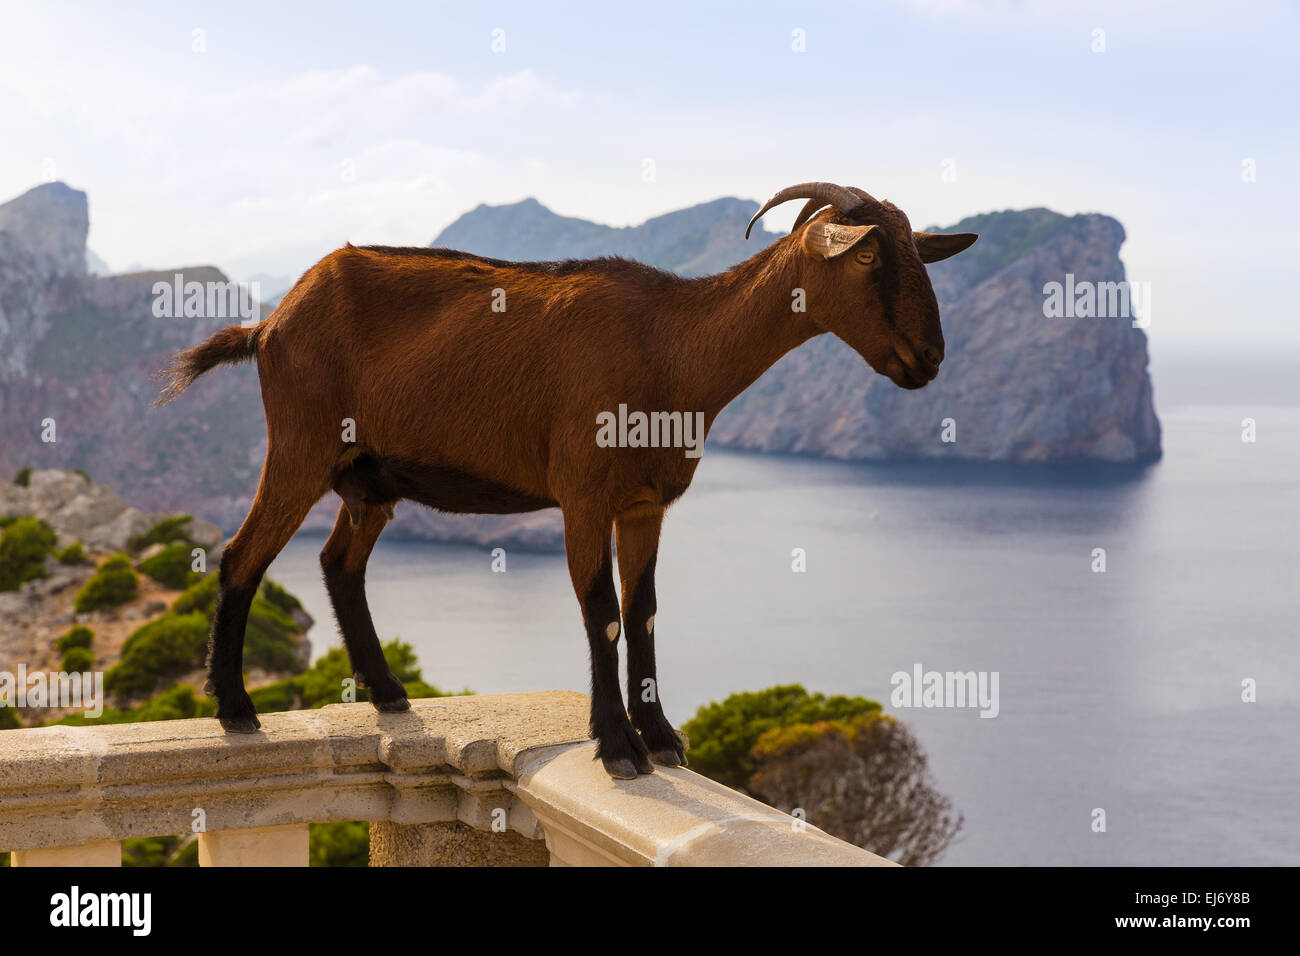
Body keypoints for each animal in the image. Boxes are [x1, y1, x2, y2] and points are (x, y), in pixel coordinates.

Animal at [157, 181, 977, 779]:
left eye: (918, 255)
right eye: (867, 259)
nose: (929, 357)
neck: (671, 348)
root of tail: (269, 325)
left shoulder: (646, 504)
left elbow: (643, 610)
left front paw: (663, 738)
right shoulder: (583, 495)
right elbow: (600, 613)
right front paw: (617, 747)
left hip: (370, 477)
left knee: (337, 563)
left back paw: (388, 695)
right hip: (300, 443)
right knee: (242, 555)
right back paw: (235, 709)